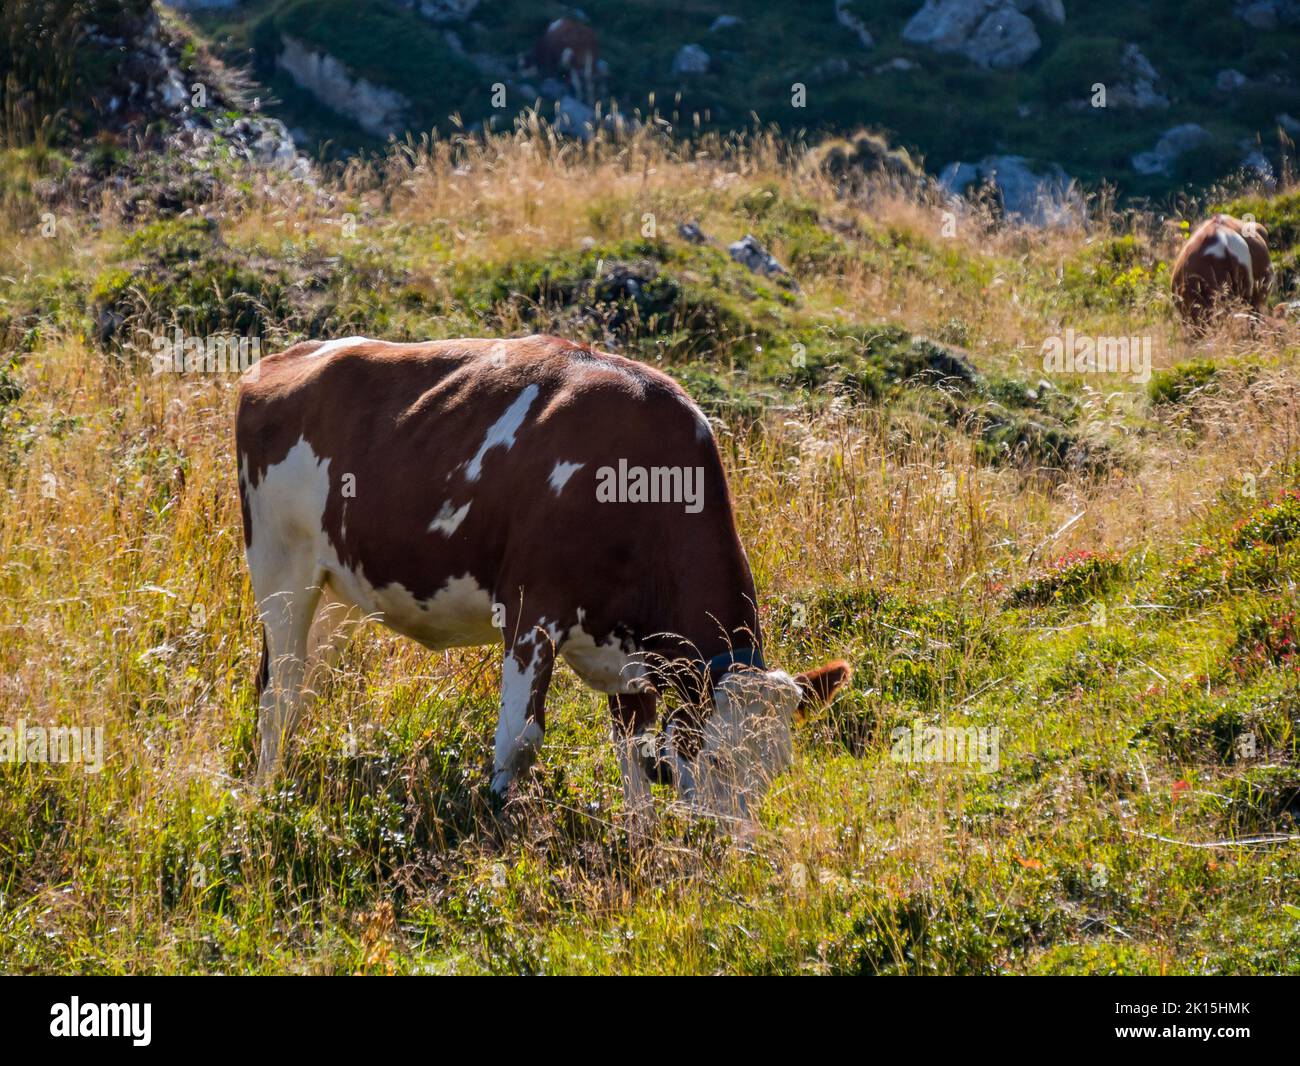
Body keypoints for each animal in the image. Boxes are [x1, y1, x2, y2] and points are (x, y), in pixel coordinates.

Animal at [236, 334, 851, 835]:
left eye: (779, 767)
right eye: (719, 759)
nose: (736, 846)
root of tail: (282, 359)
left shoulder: (630, 654)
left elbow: (635, 752)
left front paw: (642, 840)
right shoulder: (532, 611)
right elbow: (520, 738)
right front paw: (493, 821)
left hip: (338, 592)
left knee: (305, 686)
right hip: (280, 568)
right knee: (278, 688)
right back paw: (266, 796)